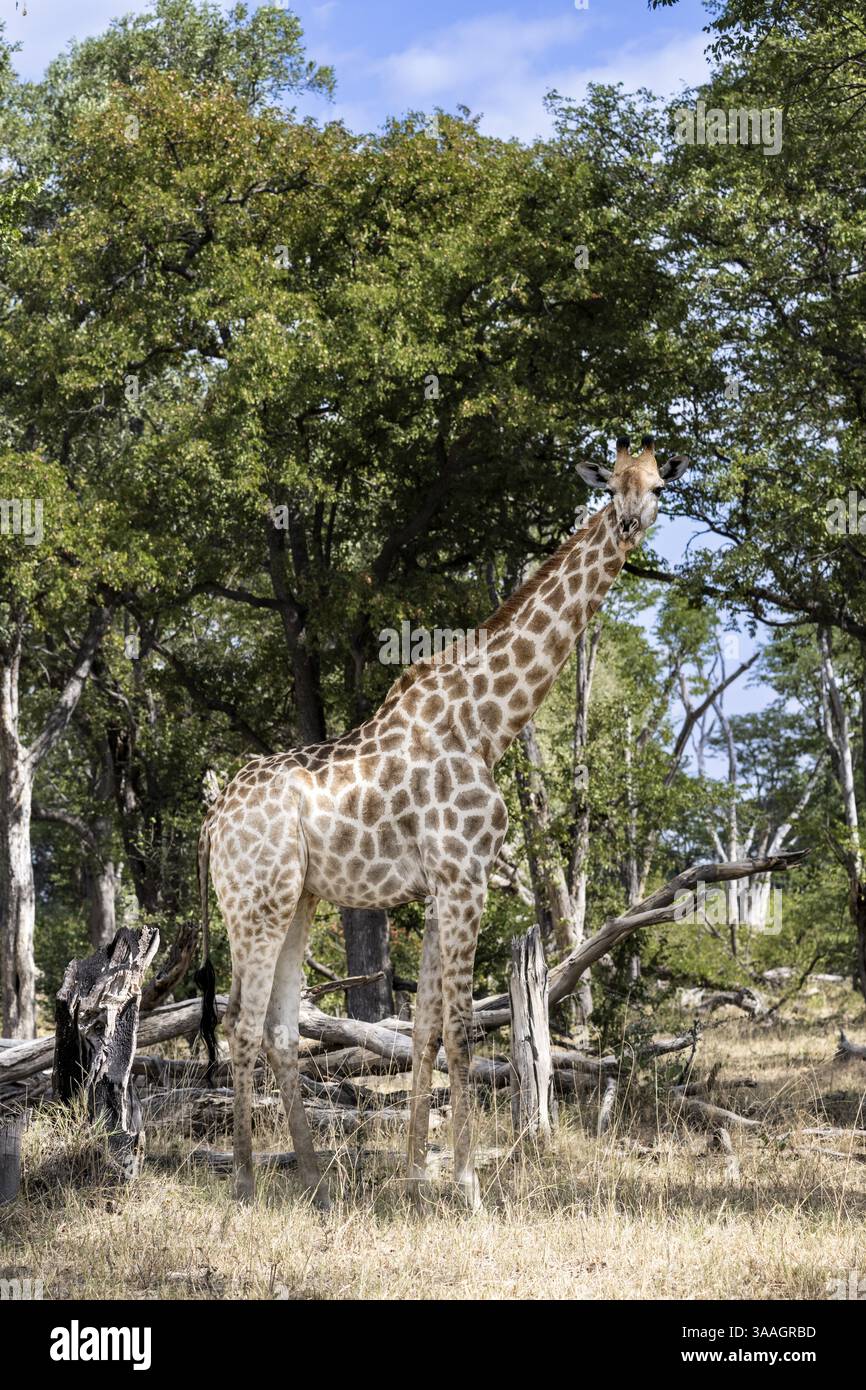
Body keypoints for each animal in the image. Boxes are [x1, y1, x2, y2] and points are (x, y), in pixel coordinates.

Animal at [198, 434, 690, 1209]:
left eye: (659, 488)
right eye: (611, 485)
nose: (629, 524)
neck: (488, 723)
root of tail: (214, 820)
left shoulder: (441, 883)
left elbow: (424, 1026)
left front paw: (412, 1175)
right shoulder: (464, 875)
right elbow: (460, 1029)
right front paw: (466, 1185)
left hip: (296, 898)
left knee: (277, 1029)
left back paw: (312, 1179)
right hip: (254, 899)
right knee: (241, 1024)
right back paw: (248, 1182)